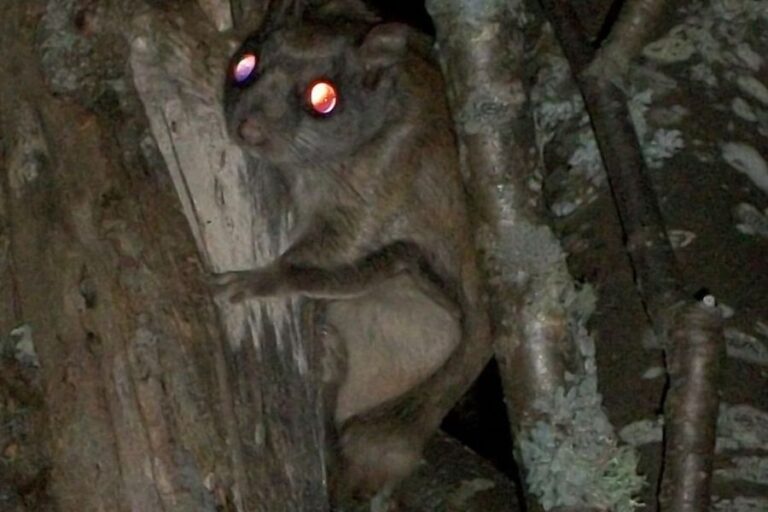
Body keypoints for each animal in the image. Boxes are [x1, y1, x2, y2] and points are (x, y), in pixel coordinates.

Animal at [215, 2, 492, 508]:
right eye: (244, 66)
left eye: (323, 98)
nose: (248, 129)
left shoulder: (386, 174)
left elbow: (318, 257)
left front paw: (257, 279)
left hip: (423, 312)